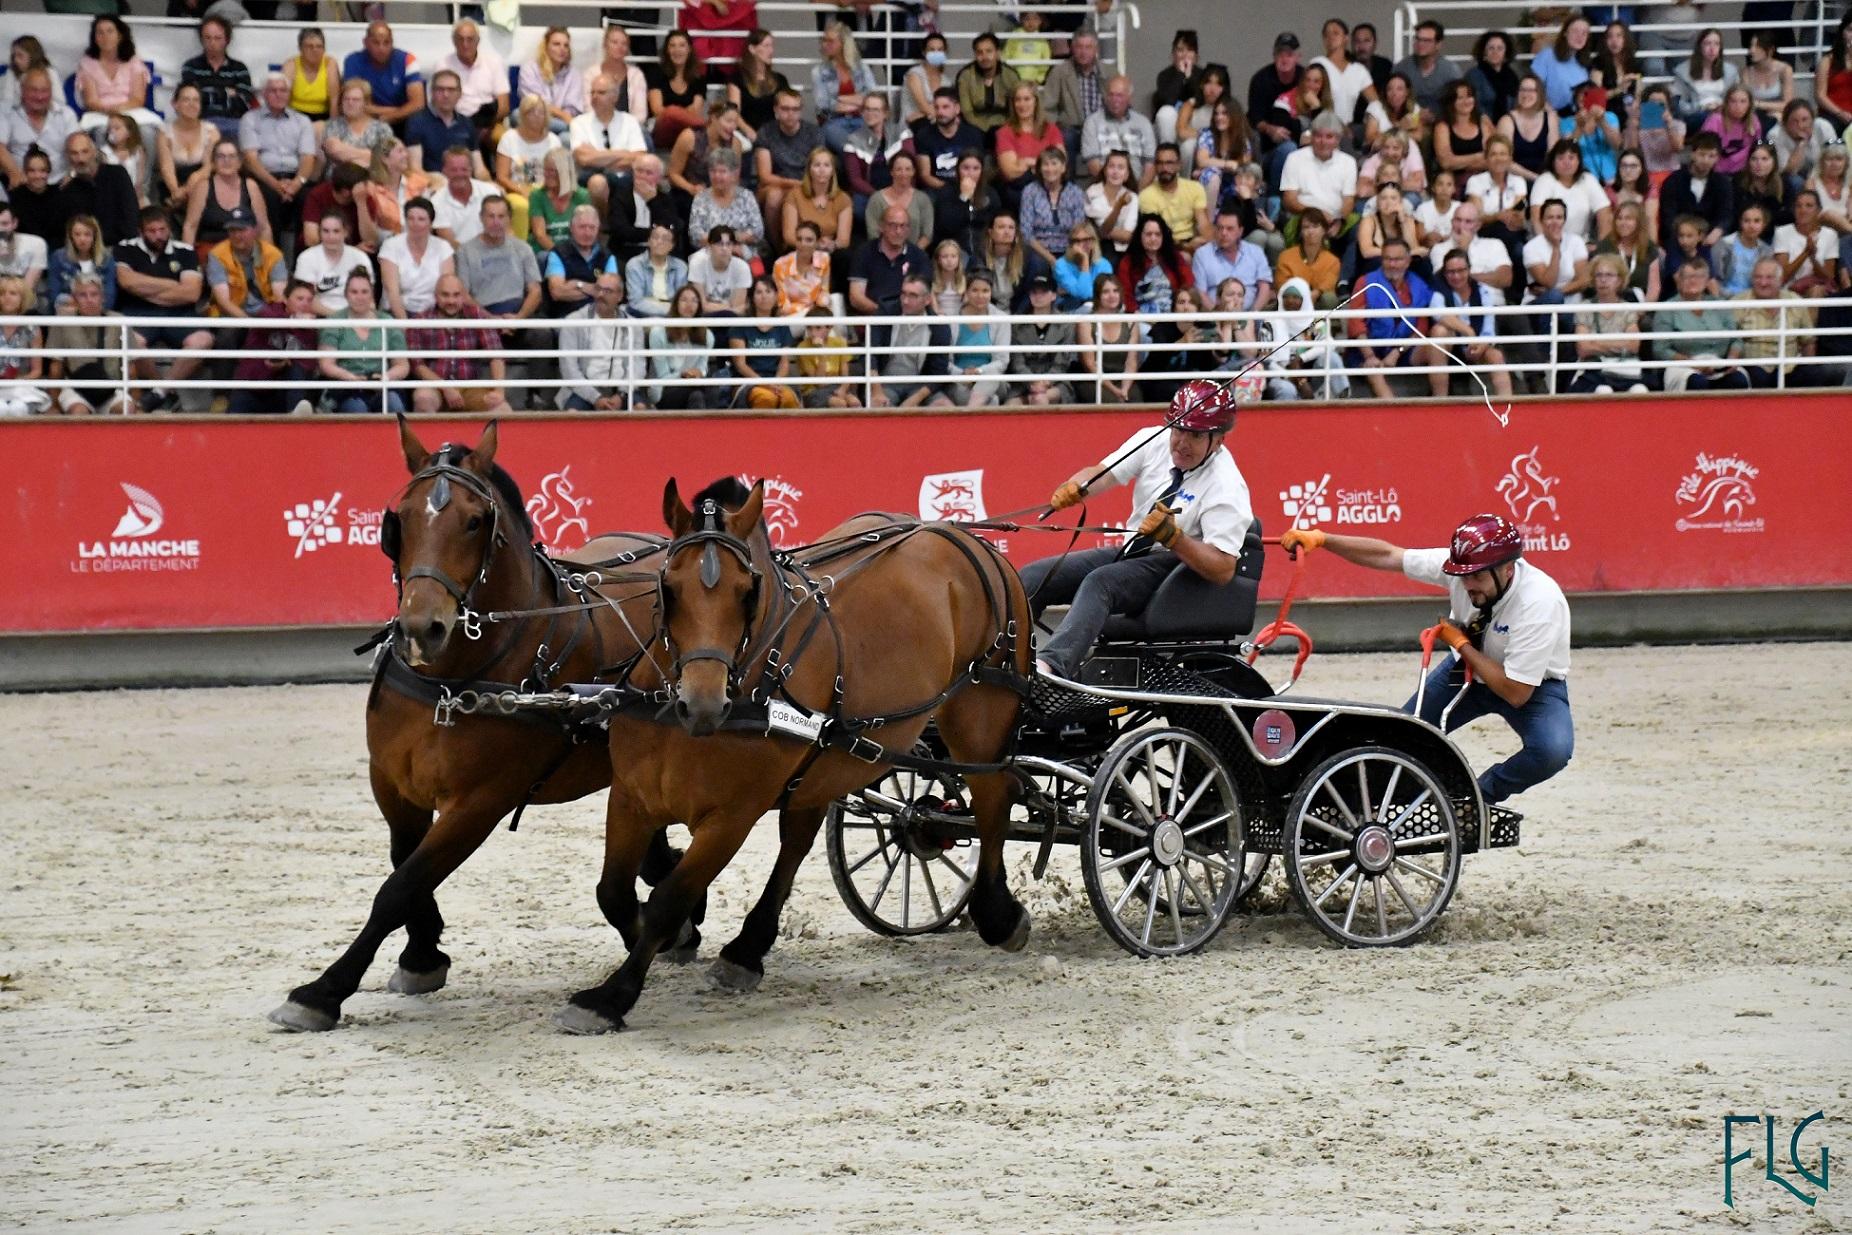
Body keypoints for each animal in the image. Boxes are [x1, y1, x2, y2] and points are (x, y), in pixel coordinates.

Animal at [269, 419, 693, 1033]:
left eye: (474, 521)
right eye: (400, 518)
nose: (423, 628)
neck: (458, 676)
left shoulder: (479, 802)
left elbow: (401, 885)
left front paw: (324, 990)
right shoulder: (392, 785)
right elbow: (405, 869)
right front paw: (422, 954)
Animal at [553, 476, 1035, 1034]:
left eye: (747, 592)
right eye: (667, 587)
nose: (702, 703)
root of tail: (962, 536)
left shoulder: (731, 818)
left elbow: (667, 900)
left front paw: (611, 996)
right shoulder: (631, 797)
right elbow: (613, 891)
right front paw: (674, 944)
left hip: (983, 706)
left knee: (993, 795)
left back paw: (998, 915)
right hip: (826, 758)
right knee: (800, 836)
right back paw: (746, 950)